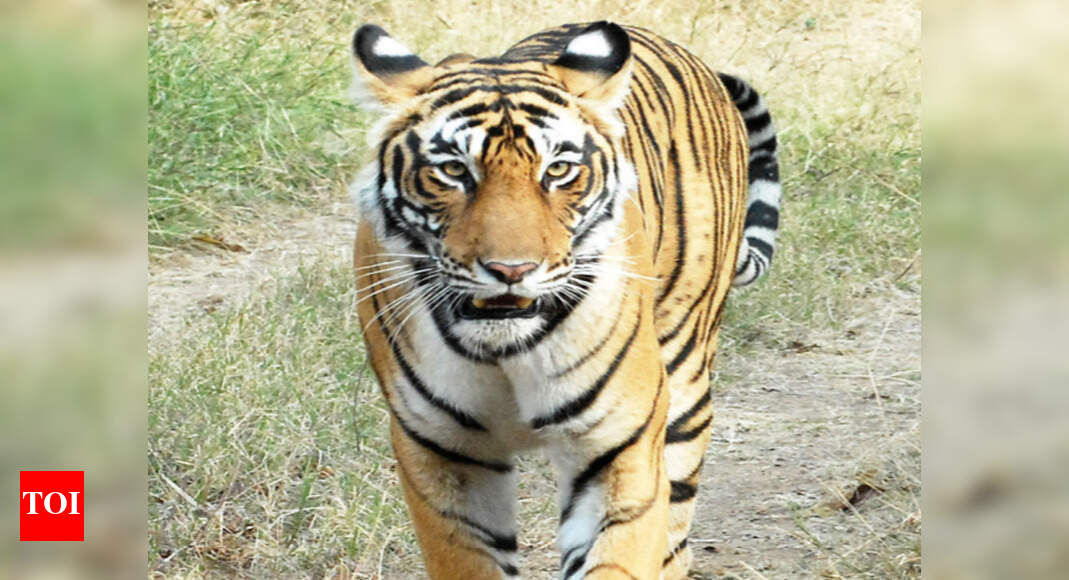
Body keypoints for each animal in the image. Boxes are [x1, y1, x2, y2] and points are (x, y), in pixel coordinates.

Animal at [349, 20, 781, 579]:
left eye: (557, 171)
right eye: (454, 171)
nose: (512, 270)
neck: (504, 350)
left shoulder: (618, 445)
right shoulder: (443, 451)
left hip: (685, 377)